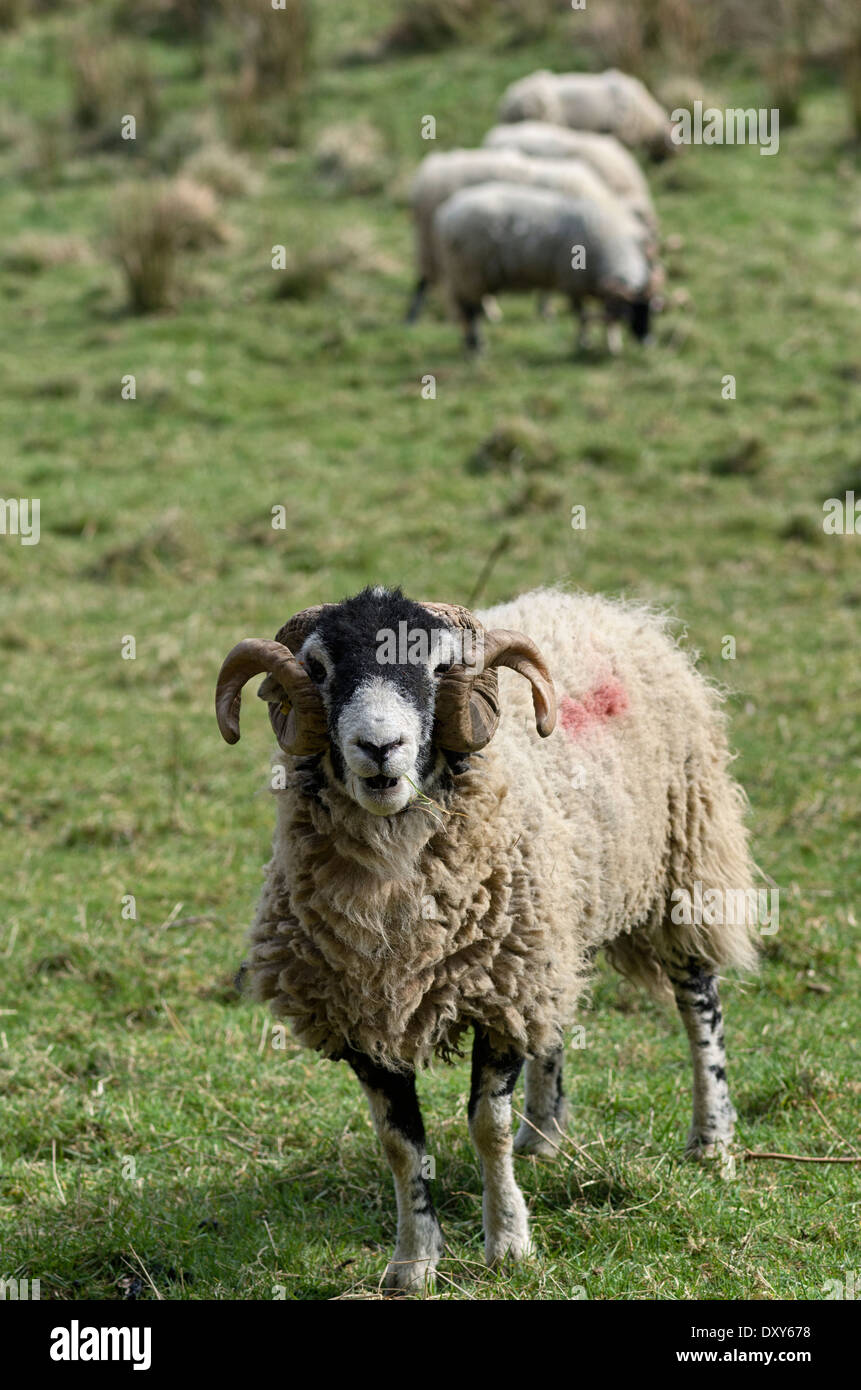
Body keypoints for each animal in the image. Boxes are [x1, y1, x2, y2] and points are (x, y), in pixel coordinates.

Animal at [216, 585, 758, 1292]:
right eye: (319, 669)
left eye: (440, 666)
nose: (379, 746)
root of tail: (596, 603)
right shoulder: (368, 1013)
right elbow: (400, 1147)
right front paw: (413, 1262)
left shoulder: (498, 999)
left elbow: (486, 1126)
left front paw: (509, 1243)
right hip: (553, 926)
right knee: (554, 1024)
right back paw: (545, 1136)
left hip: (683, 863)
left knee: (700, 1005)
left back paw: (711, 1139)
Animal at [406, 146, 648, 323]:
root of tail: (430, 170)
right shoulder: (561, 249)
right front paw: (546, 310)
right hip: (438, 243)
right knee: (426, 279)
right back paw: (413, 316)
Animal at [433, 181, 663, 354]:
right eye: (630, 313)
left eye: (651, 310)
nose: (648, 342)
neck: (613, 249)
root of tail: (447, 212)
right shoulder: (572, 282)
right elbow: (581, 315)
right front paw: (584, 342)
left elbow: (606, 317)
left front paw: (613, 344)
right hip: (467, 273)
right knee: (469, 310)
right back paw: (477, 346)